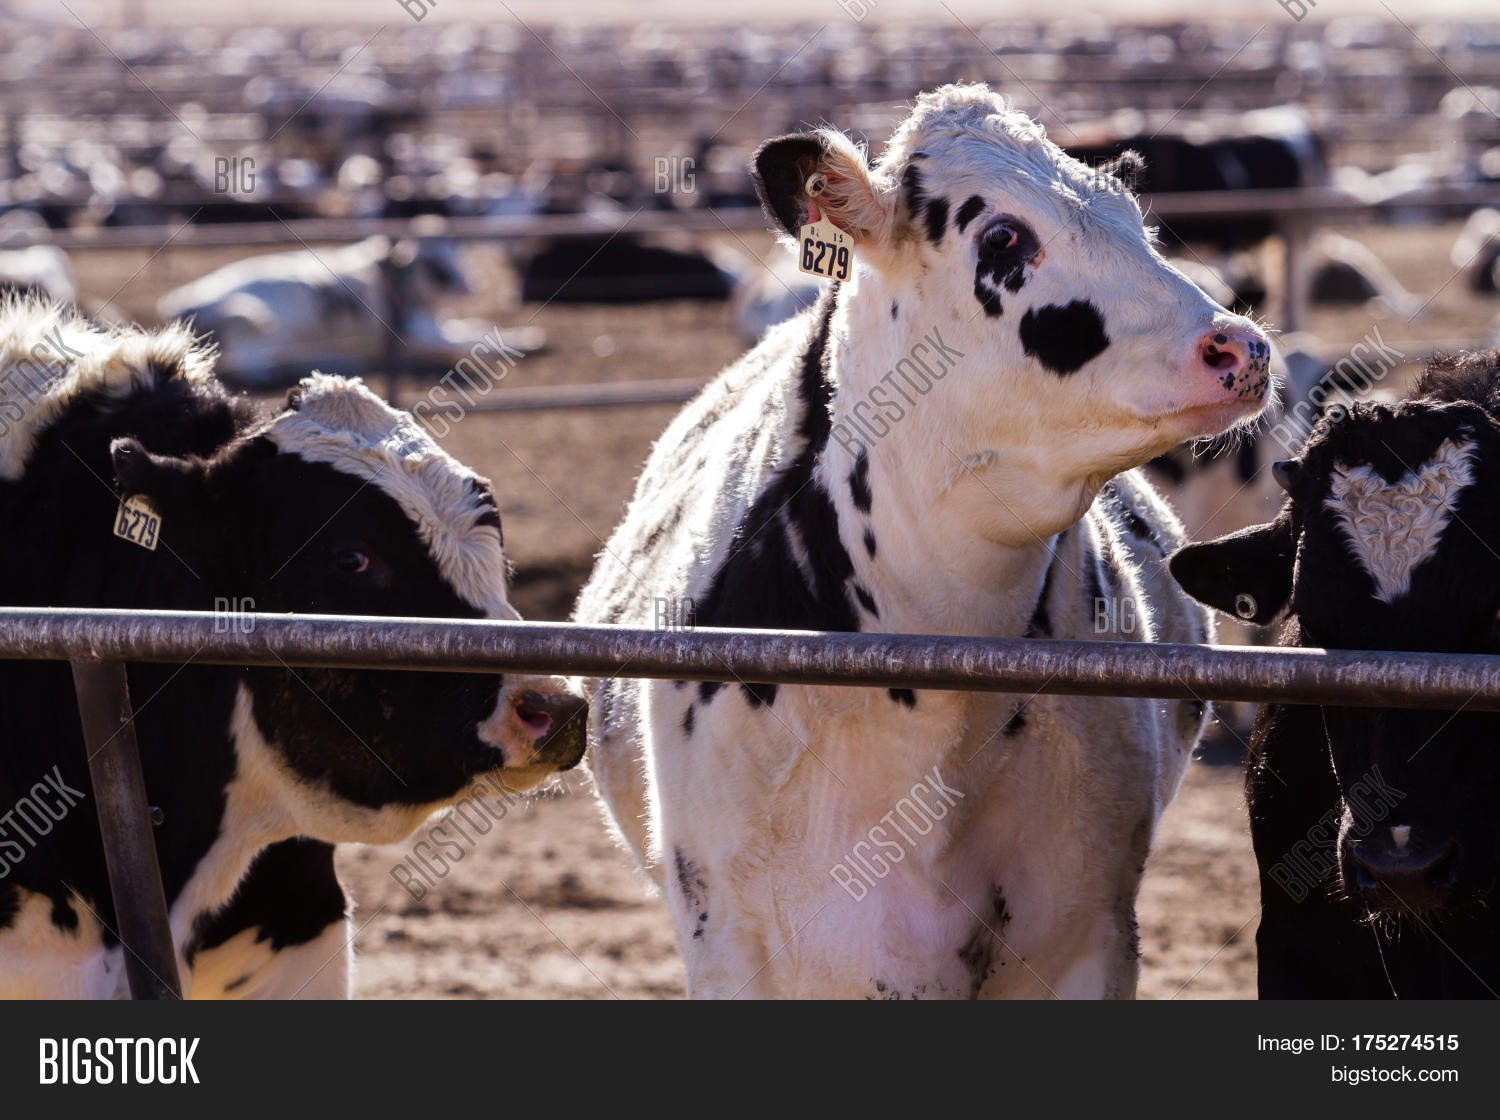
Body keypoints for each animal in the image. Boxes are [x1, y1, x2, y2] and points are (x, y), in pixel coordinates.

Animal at [157, 235, 473, 387]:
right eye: (436, 266)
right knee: (247, 363)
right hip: (258, 320)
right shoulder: (416, 327)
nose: (468, 287)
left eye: (458, 258)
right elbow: (464, 335)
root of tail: (181, 301)